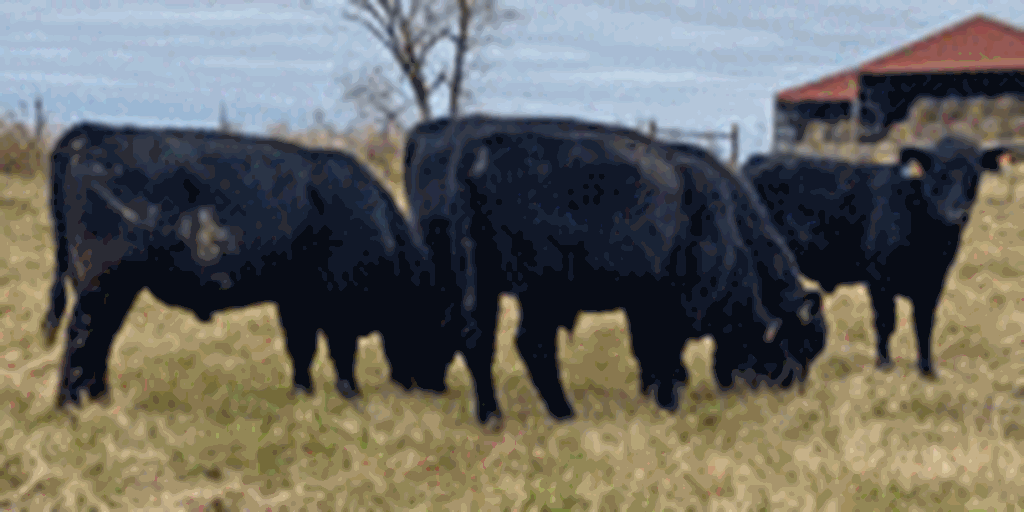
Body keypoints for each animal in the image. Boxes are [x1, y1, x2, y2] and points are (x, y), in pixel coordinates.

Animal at [42, 122, 436, 409]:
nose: (430, 389)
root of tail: (91, 133)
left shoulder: (296, 300)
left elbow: (301, 348)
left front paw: (302, 394)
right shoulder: (339, 303)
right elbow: (342, 353)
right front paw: (352, 397)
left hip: (113, 287)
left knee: (101, 339)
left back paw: (100, 401)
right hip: (104, 282)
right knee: (82, 336)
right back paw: (68, 406)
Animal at [403, 115, 827, 422]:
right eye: (800, 347)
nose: (794, 389)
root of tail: (479, 151)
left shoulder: (641, 303)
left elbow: (647, 352)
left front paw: (653, 393)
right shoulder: (674, 305)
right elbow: (666, 353)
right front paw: (668, 401)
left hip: (481, 282)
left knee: (475, 337)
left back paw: (490, 416)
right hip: (539, 291)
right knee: (532, 344)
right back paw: (564, 413)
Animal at [742, 137, 1014, 378]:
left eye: (974, 175)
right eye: (938, 174)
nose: (957, 214)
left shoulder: (933, 284)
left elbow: (924, 325)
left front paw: (927, 370)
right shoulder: (880, 281)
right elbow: (885, 323)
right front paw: (884, 365)